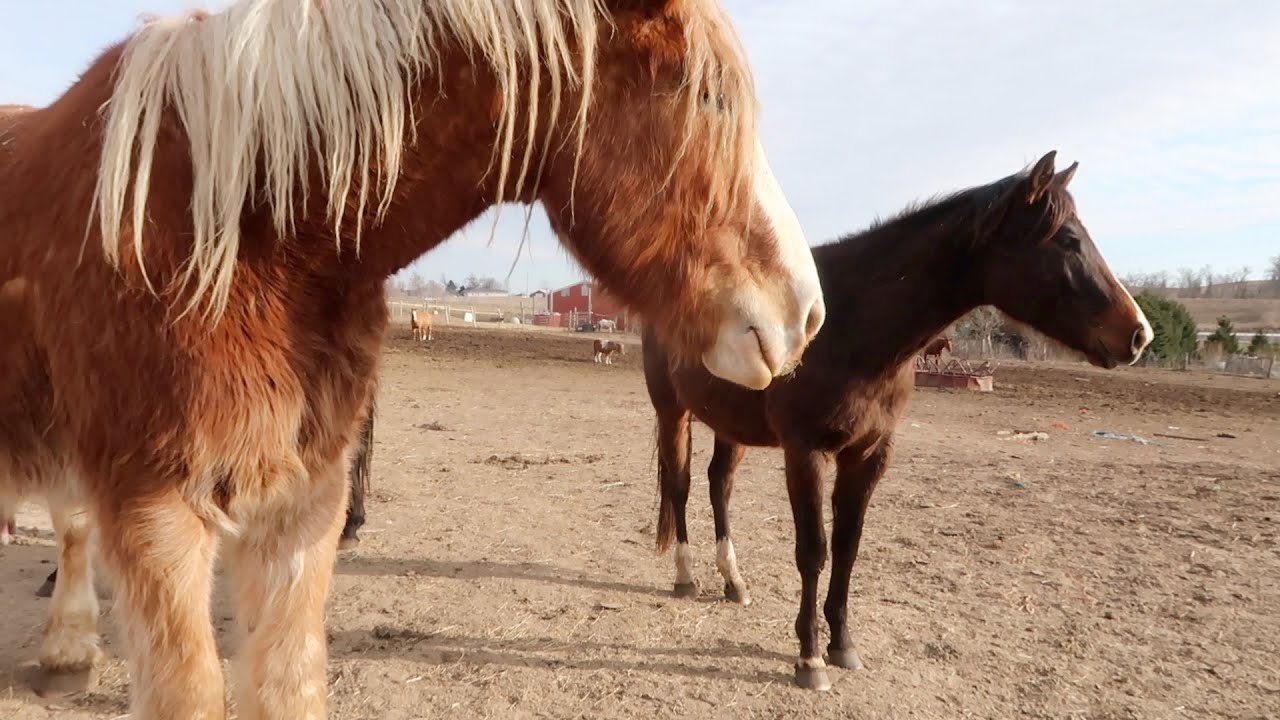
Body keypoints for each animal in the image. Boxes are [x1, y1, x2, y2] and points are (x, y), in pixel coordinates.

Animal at [0, 1, 825, 716]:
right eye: (709, 96)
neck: (237, 228)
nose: (806, 314)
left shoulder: (301, 508)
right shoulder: (156, 514)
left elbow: (290, 682)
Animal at [641, 151, 1153, 692]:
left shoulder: (868, 454)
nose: (1139, 334)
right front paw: (809, 658)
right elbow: (814, 550)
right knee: (680, 484)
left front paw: (842, 644)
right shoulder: (806, 452)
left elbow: (847, 546)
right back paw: (685, 576)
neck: (852, 326)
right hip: (672, 410)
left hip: (730, 422)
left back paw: (733, 581)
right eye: (1068, 240)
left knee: (719, 484)